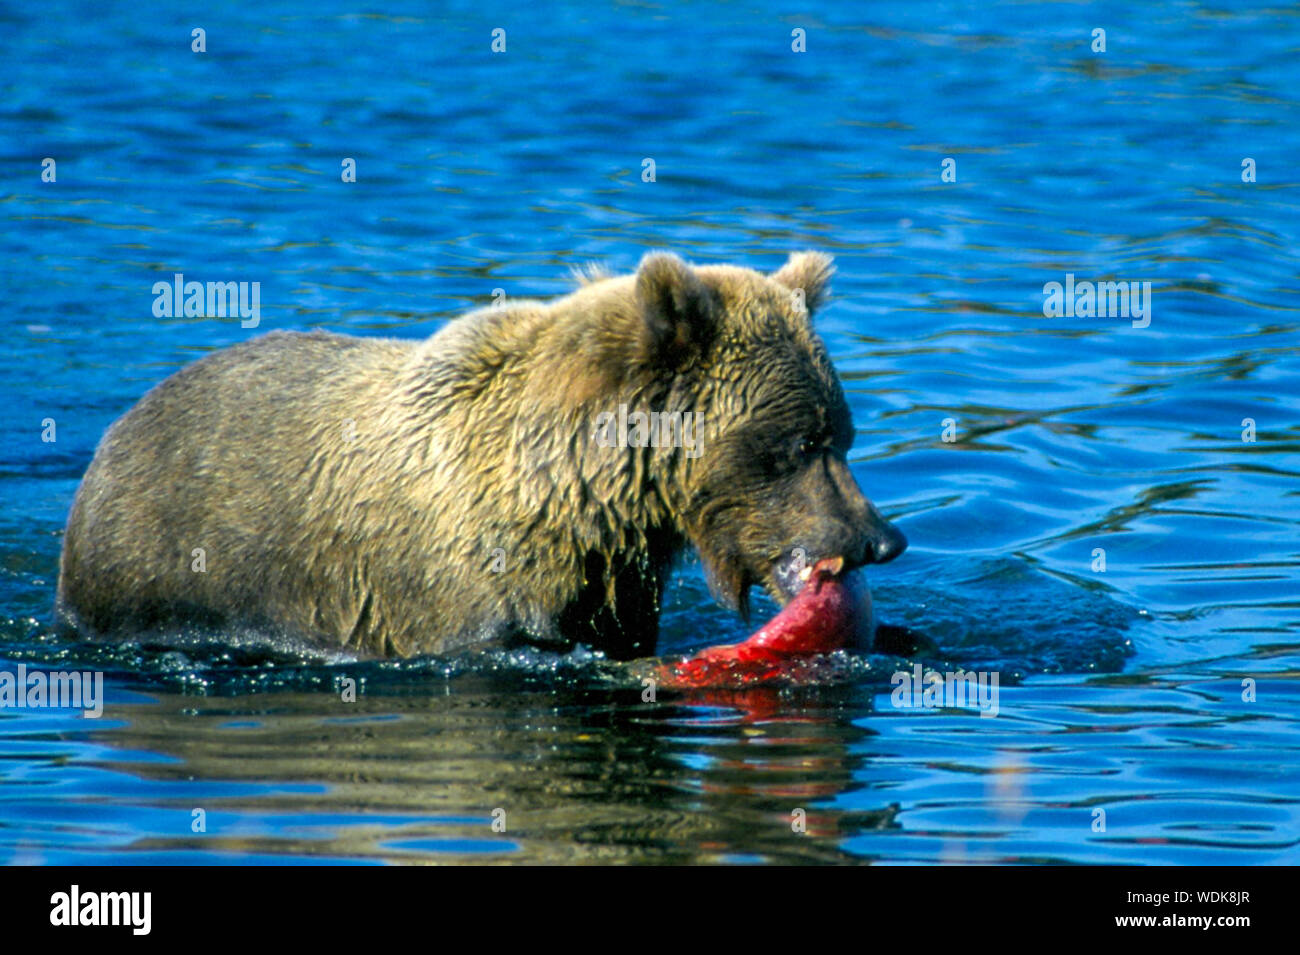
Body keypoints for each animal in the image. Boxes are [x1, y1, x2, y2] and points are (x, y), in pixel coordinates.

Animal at [56, 251, 907, 661]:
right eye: (799, 443)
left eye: (842, 433)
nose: (879, 537)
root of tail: (117, 430)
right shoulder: (456, 597)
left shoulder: (612, 583)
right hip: (156, 559)